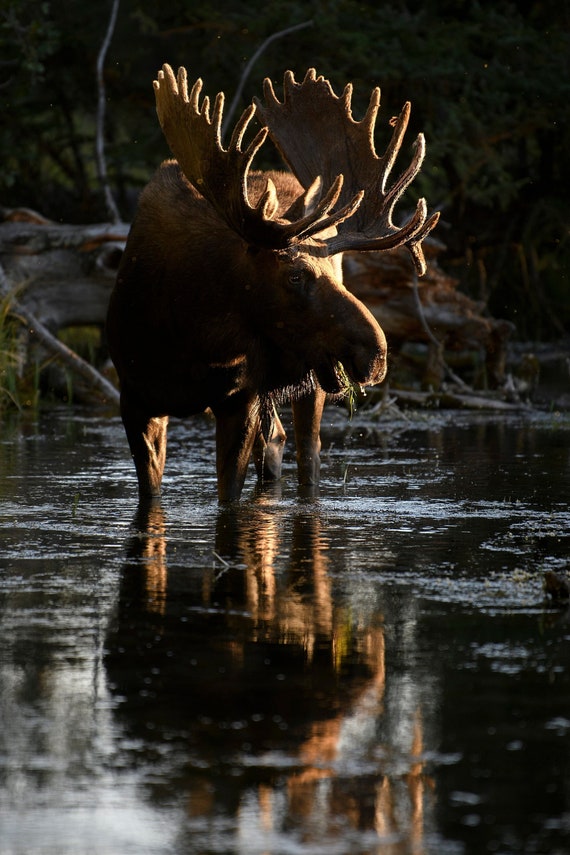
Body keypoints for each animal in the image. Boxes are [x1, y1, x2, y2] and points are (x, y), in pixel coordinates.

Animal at [106, 65, 439, 502]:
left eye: (336, 271)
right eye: (295, 274)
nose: (376, 355)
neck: (190, 336)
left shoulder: (239, 398)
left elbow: (230, 492)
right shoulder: (134, 398)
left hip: (314, 379)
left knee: (307, 454)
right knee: (277, 442)